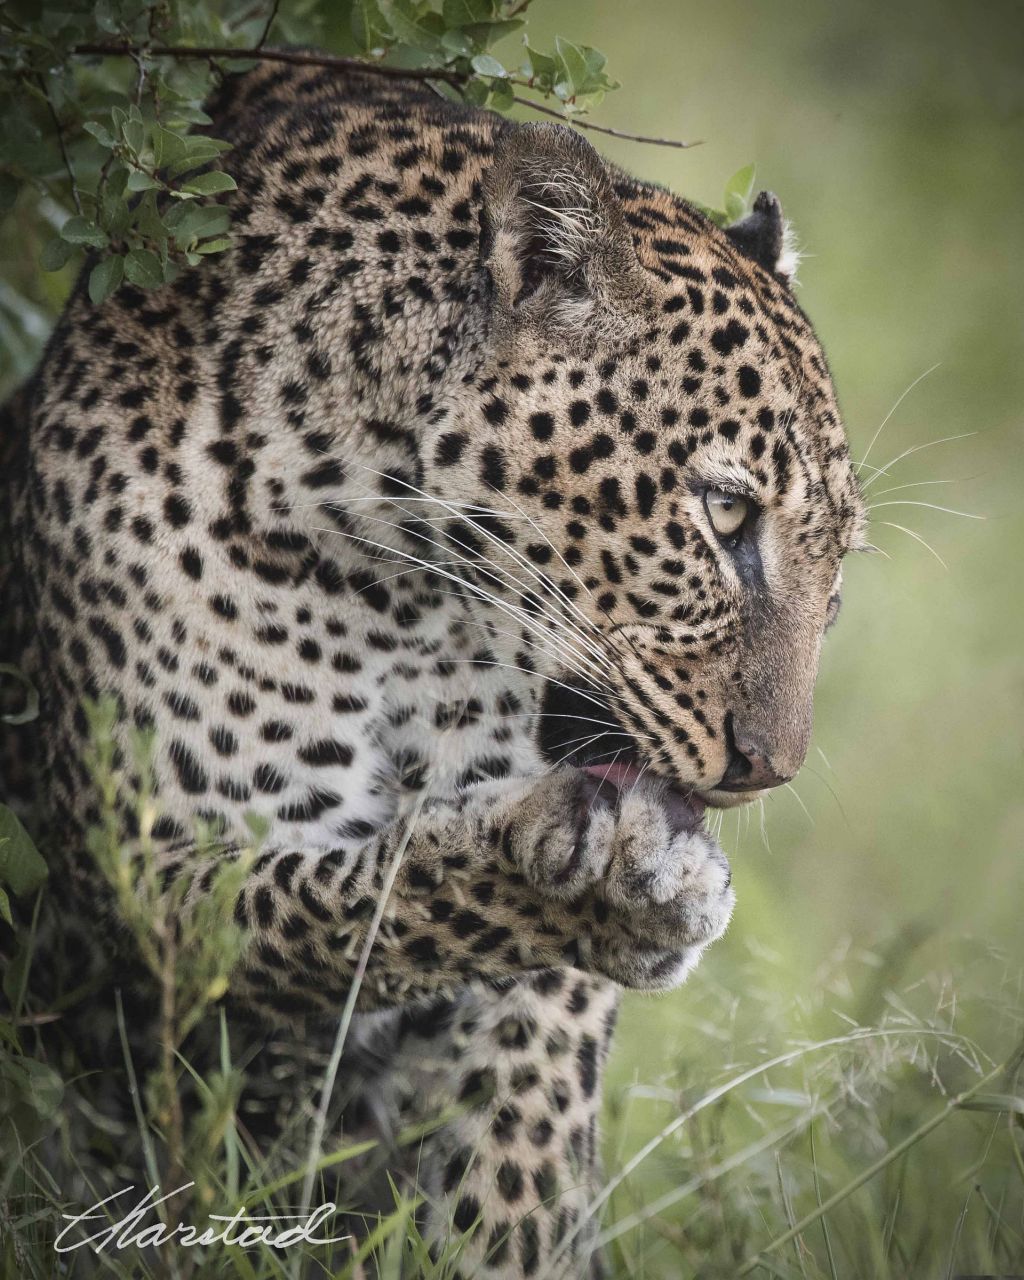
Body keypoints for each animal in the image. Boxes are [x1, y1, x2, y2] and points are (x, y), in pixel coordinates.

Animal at [0, 60, 865, 1278]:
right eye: (726, 515)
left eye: (841, 564)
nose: (767, 769)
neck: (391, 573)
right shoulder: (158, 882)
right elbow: (367, 900)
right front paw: (594, 882)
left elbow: (516, 1131)